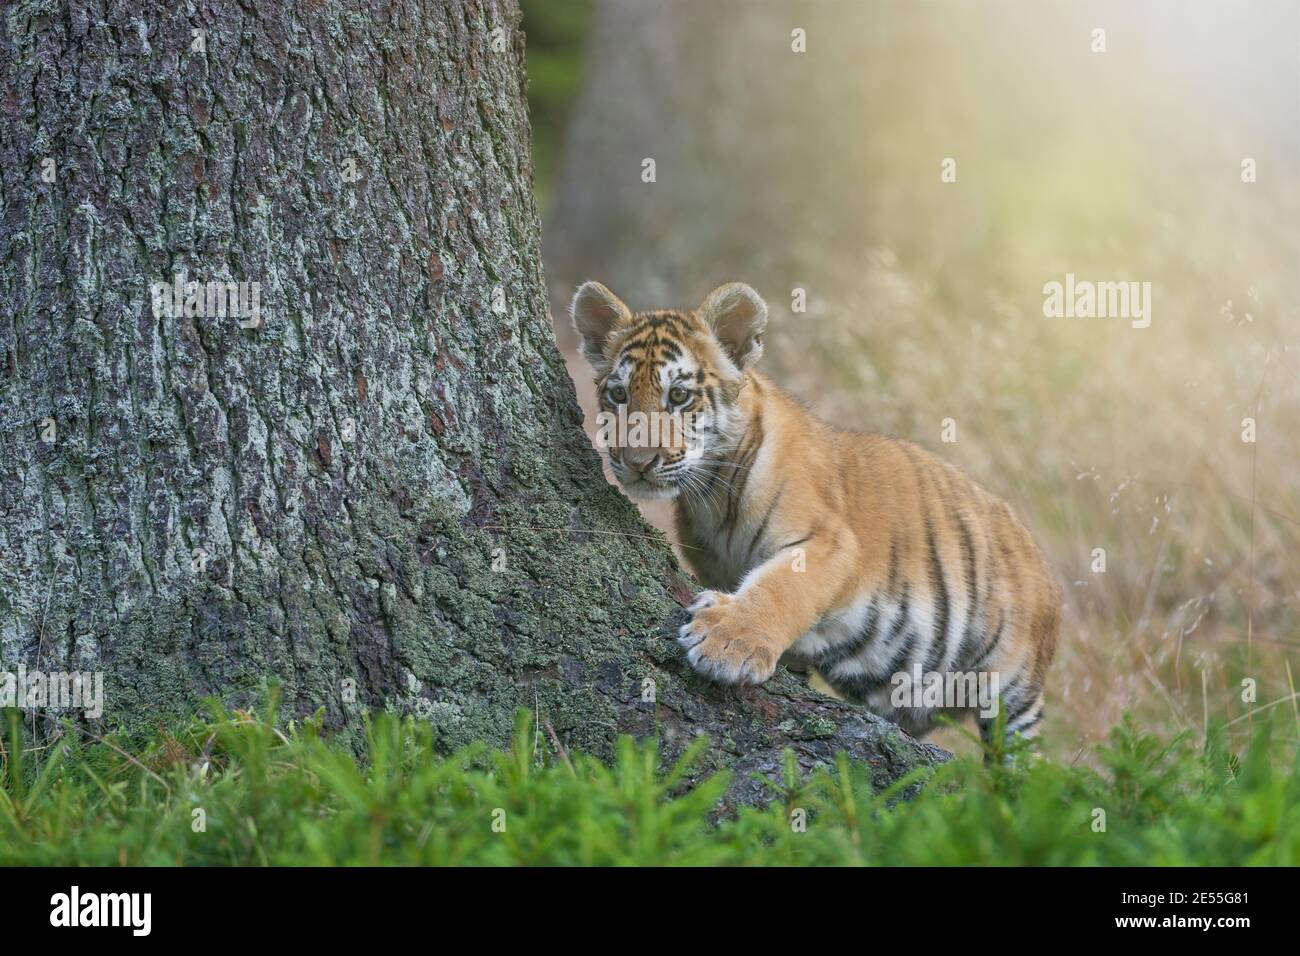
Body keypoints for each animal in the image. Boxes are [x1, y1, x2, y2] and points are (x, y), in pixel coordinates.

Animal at [570, 280, 1061, 744]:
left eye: (678, 396)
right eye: (618, 395)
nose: (637, 462)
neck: (710, 494)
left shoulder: (829, 542)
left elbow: (781, 590)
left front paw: (727, 644)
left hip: (1014, 687)